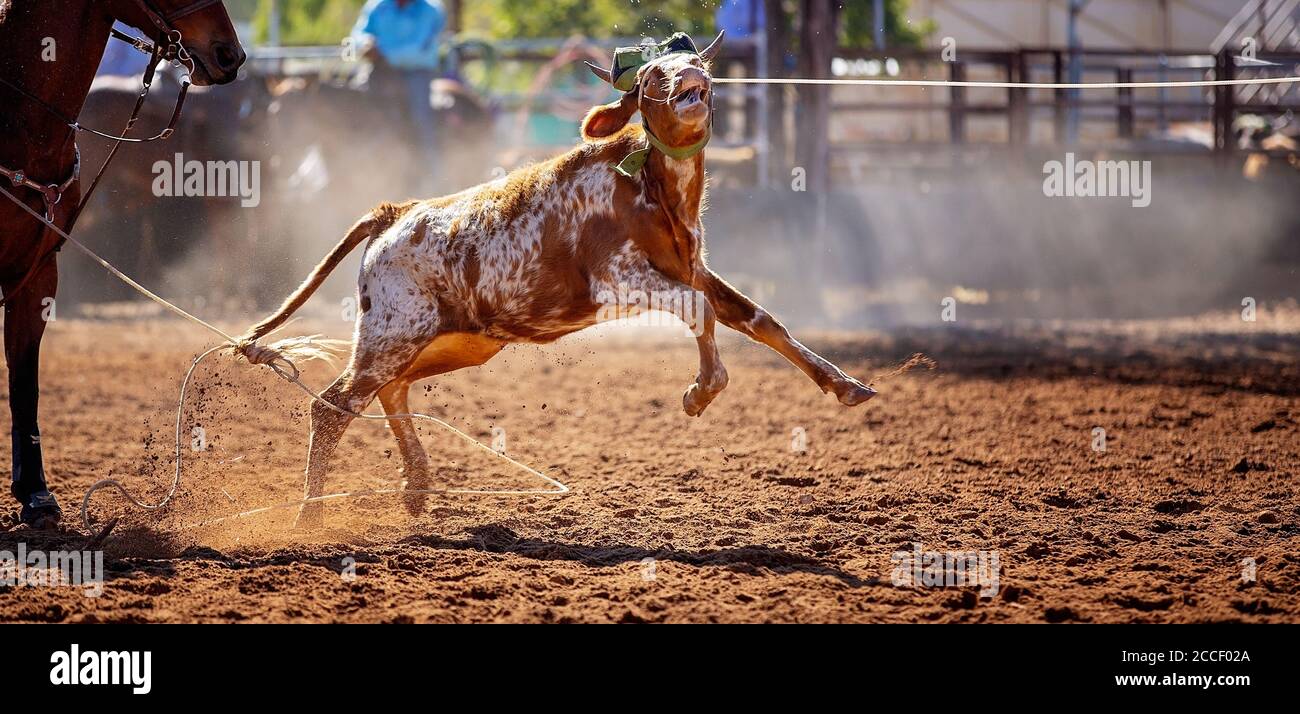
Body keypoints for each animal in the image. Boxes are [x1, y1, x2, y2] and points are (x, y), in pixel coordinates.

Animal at [238, 32, 876, 529]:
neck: (649, 189)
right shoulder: (620, 282)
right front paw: (701, 390)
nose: (690, 77)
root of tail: (396, 213)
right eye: (652, 76)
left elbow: (757, 318)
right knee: (334, 406)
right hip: (393, 332)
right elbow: (700, 310)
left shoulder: (692, 267)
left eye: (693, 58)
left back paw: (416, 485)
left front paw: (844, 384)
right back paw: (311, 517)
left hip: (455, 341)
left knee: (389, 391)